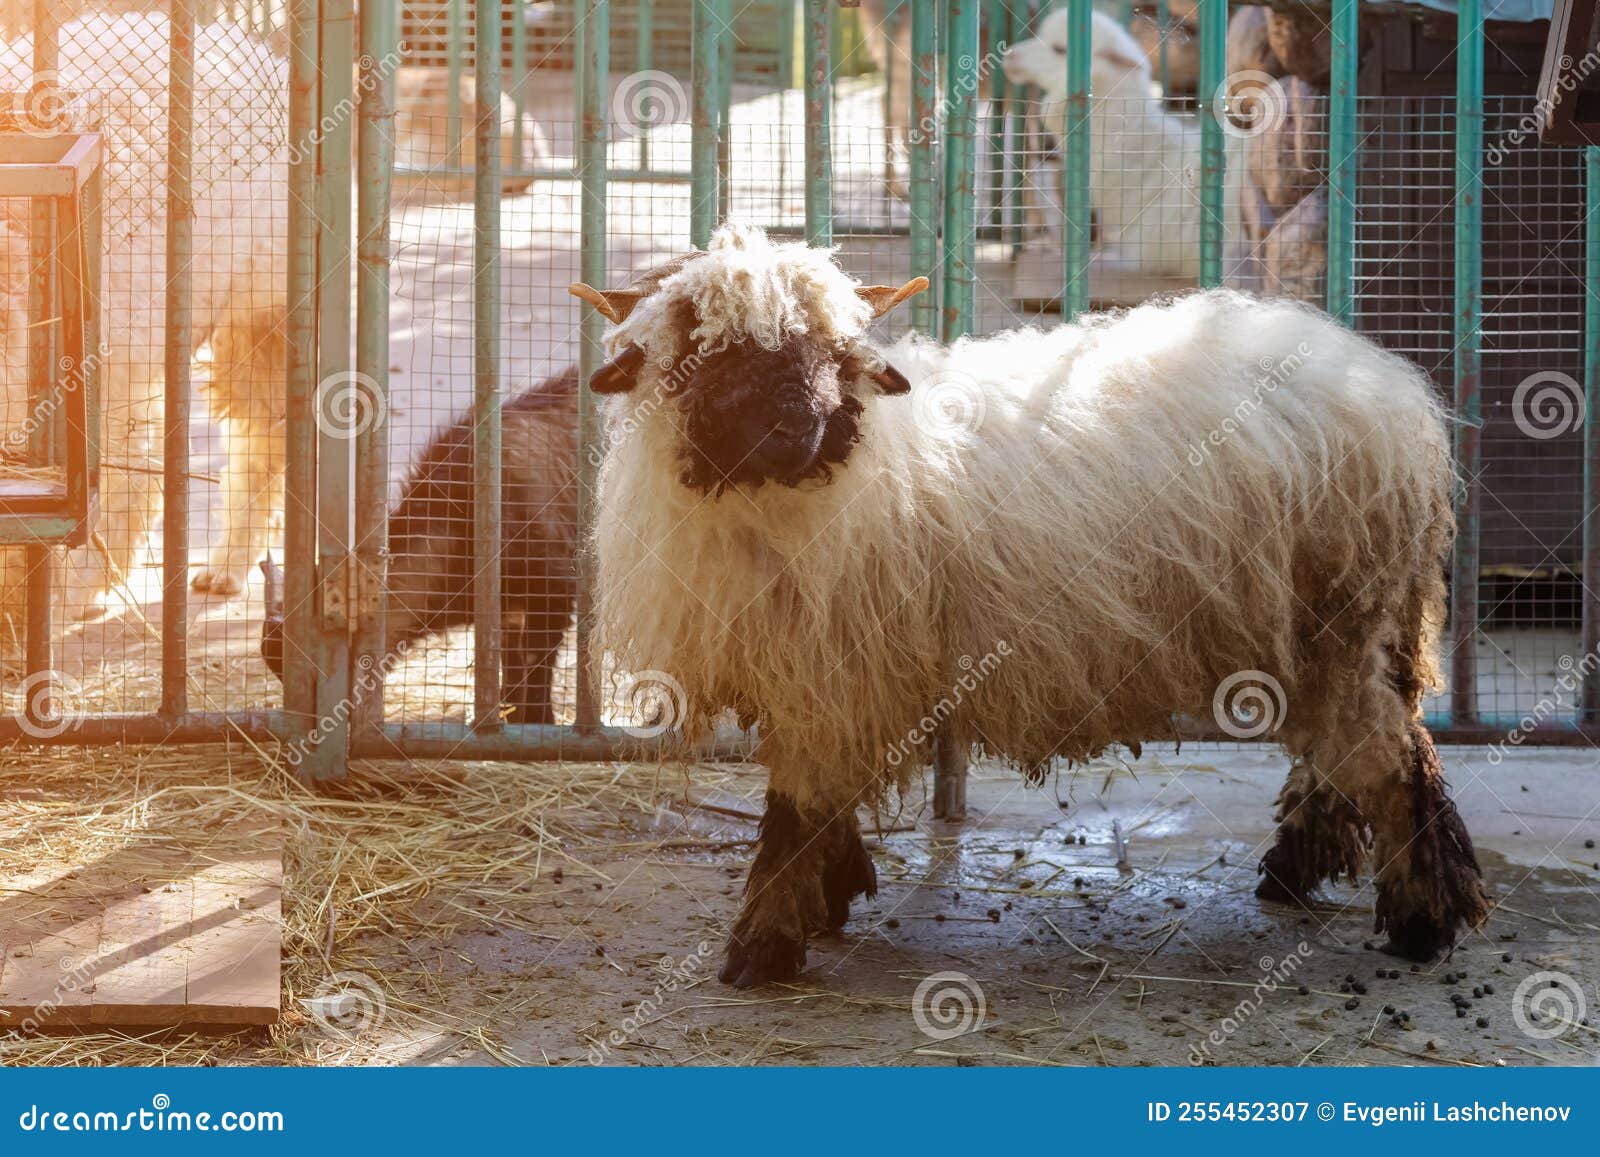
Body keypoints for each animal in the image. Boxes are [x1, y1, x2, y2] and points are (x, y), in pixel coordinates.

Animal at [575, 224, 1489, 987]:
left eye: (837, 351)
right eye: (702, 346)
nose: (797, 427)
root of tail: (1388, 387)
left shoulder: (834, 677)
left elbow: (796, 811)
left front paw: (763, 945)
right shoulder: (822, 678)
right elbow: (818, 805)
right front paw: (830, 898)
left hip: (1342, 619)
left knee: (1394, 761)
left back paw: (1423, 923)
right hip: (1322, 634)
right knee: (1340, 752)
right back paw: (1294, 870)